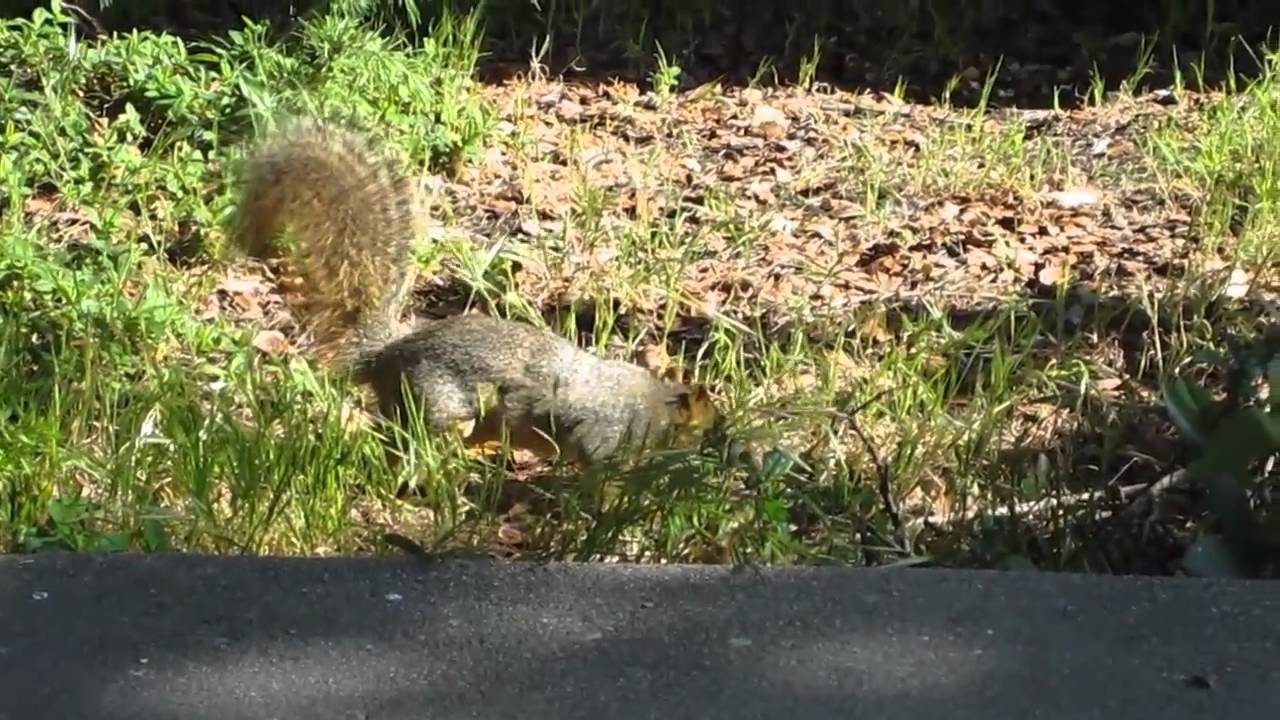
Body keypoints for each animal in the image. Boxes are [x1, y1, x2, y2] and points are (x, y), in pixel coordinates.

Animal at [226, 118, 718, 465]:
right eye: (702, 424)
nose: (718, 450)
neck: (652, 403)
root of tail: (386, 357)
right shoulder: (605, 434)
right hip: (439, 404)